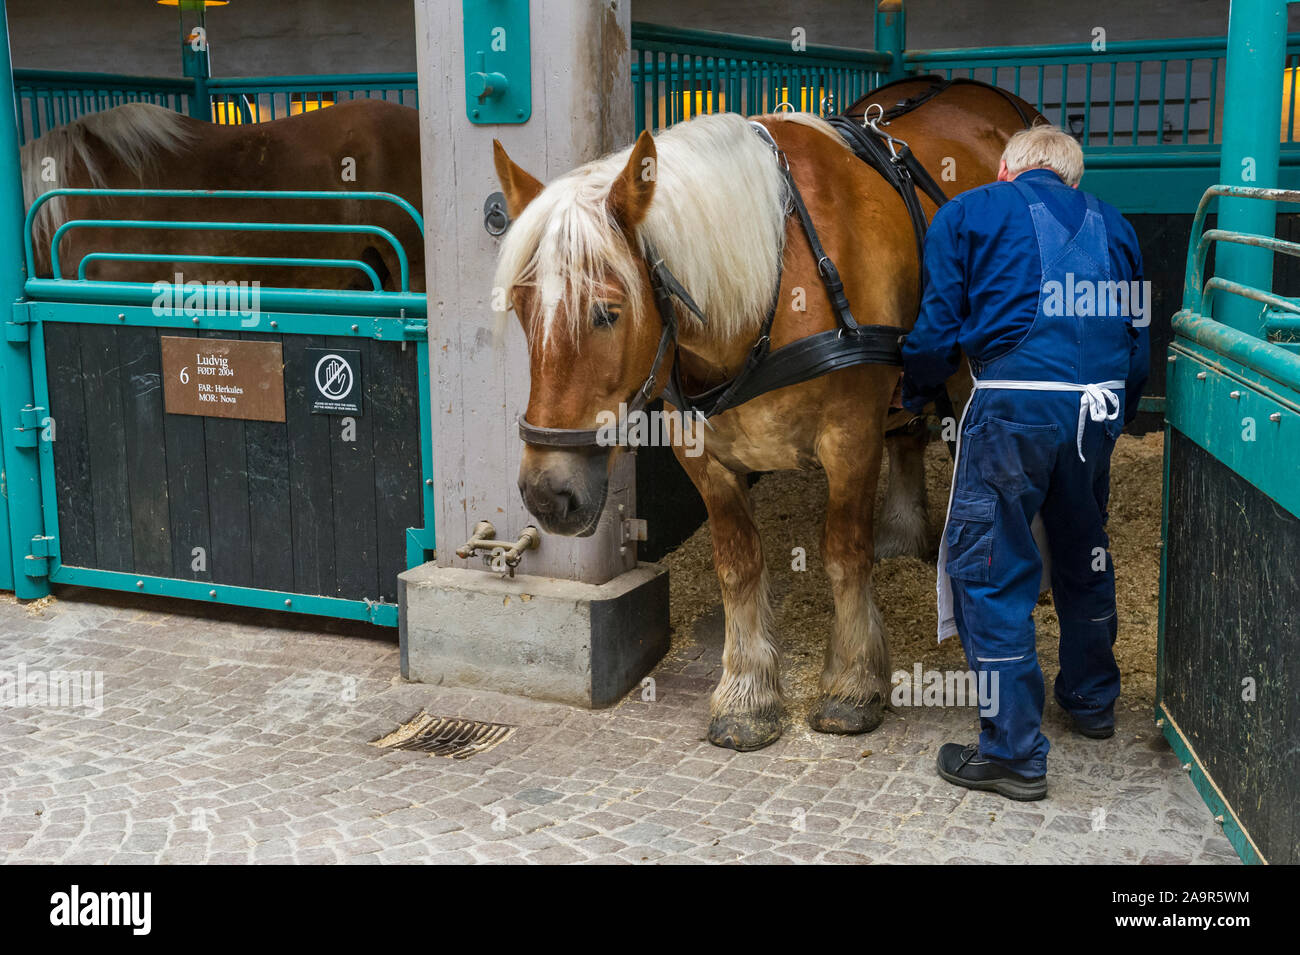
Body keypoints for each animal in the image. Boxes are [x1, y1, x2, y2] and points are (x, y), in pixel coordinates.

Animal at [493, 80, 1037, 751]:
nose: (548, 494)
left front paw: (853, 685)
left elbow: (844, 553)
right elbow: (738, 564)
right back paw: (903, 531)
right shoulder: (702, 454)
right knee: (908, 435)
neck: (773, 284)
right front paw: (747, 692)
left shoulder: (850, 438)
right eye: (521, 308)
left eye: (606, 312)